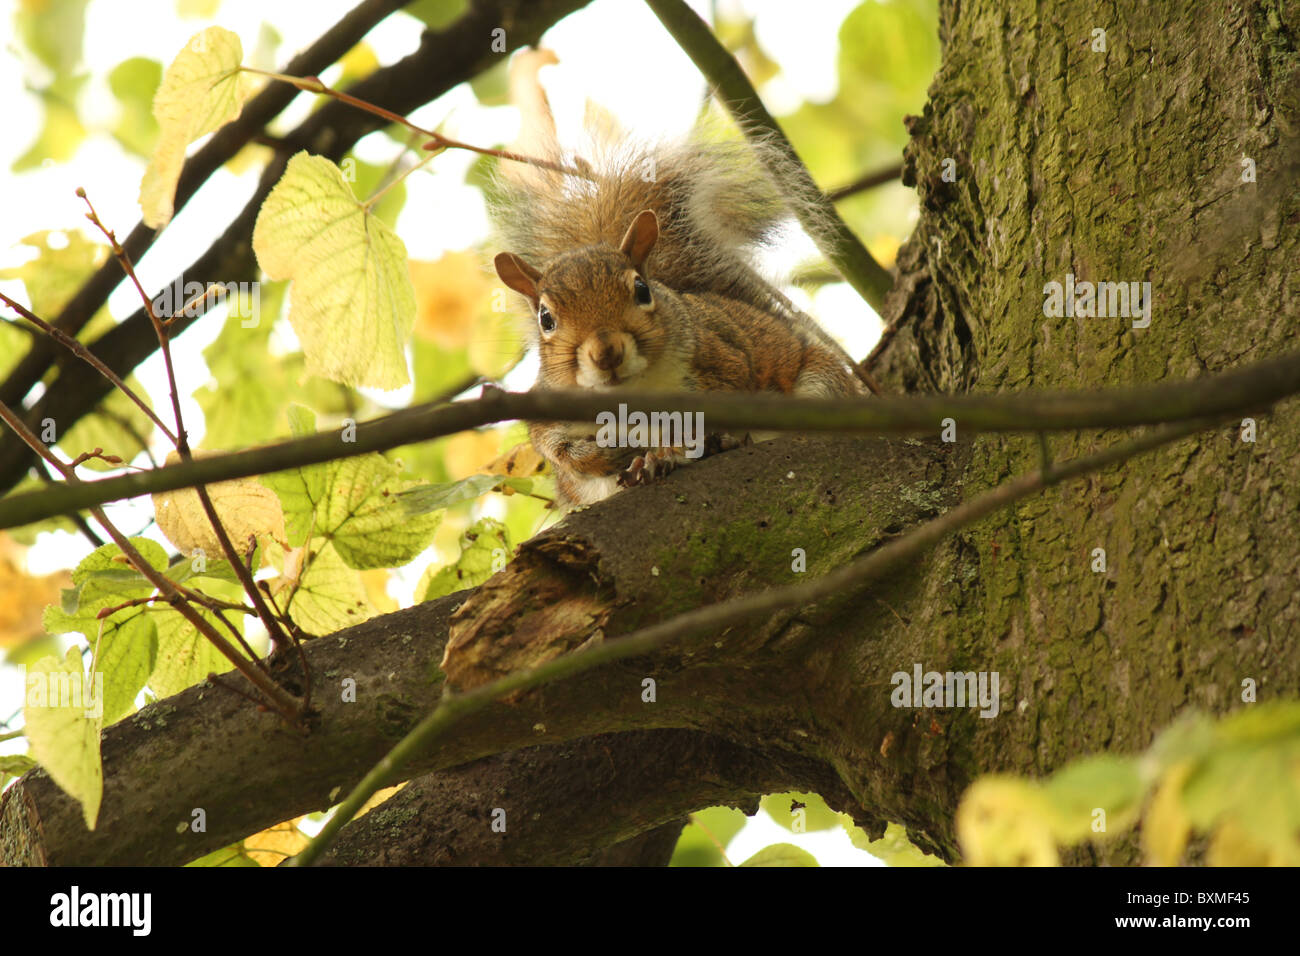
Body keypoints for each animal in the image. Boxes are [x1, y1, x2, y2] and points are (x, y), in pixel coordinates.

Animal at [491, 131, 867, 507]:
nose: (606, 352)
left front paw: (666, 453)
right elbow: (560, 451)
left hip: (821, 381)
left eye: (642, 290)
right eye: (546, 319)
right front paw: (611, 453)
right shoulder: (548, 412)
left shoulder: (720, 358)